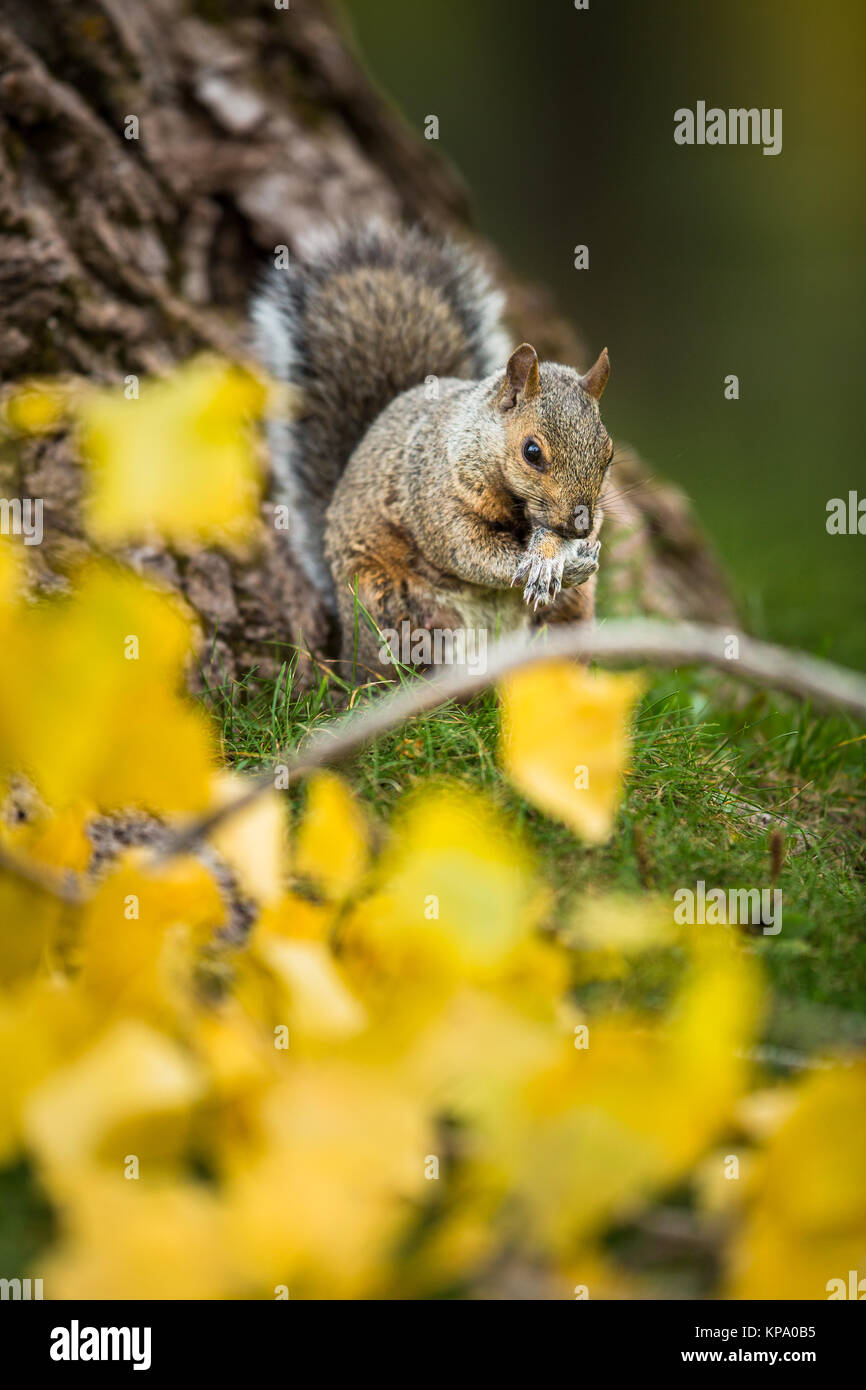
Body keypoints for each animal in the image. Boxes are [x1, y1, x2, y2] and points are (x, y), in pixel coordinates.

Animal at [252, 222, 612, 681]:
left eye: (608, 455)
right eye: (532, 451)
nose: (579, 527)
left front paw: (558, 556)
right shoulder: (436, 497)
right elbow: (468, 550)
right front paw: (544, 563)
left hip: (567, 620)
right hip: (388, 605)